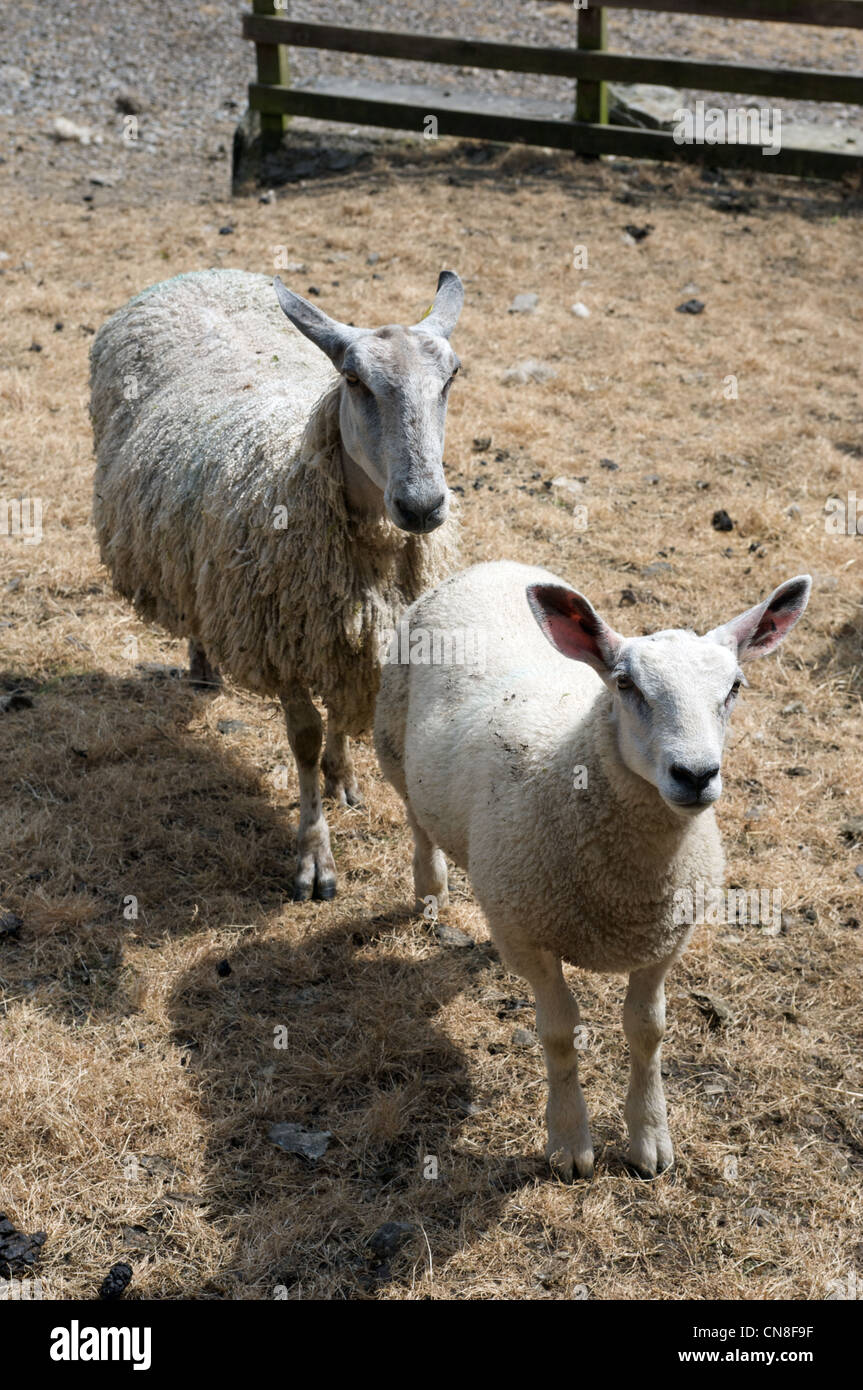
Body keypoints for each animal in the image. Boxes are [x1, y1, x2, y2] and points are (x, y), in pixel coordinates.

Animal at [91, 267, 464, 901]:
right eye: (353, 379)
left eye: (451, 377)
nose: (421, 505)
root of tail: (201, 272)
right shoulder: (281, 640)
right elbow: (306, 739)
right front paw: (315, 858)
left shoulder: (365, 635)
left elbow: (355, 719)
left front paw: (349, 782)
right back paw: (202, 667)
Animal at [374, 560, 811, 1179]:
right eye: (626, 685)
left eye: (734, 687)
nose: (695, 774)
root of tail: (495, 565)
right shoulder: (529, 938)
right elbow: (558, 1035)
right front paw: (568, 1143)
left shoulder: (665, 940)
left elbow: (647, 1030)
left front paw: (649, 1138)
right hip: (391, 739)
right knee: (416, 817)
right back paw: (429, 889)